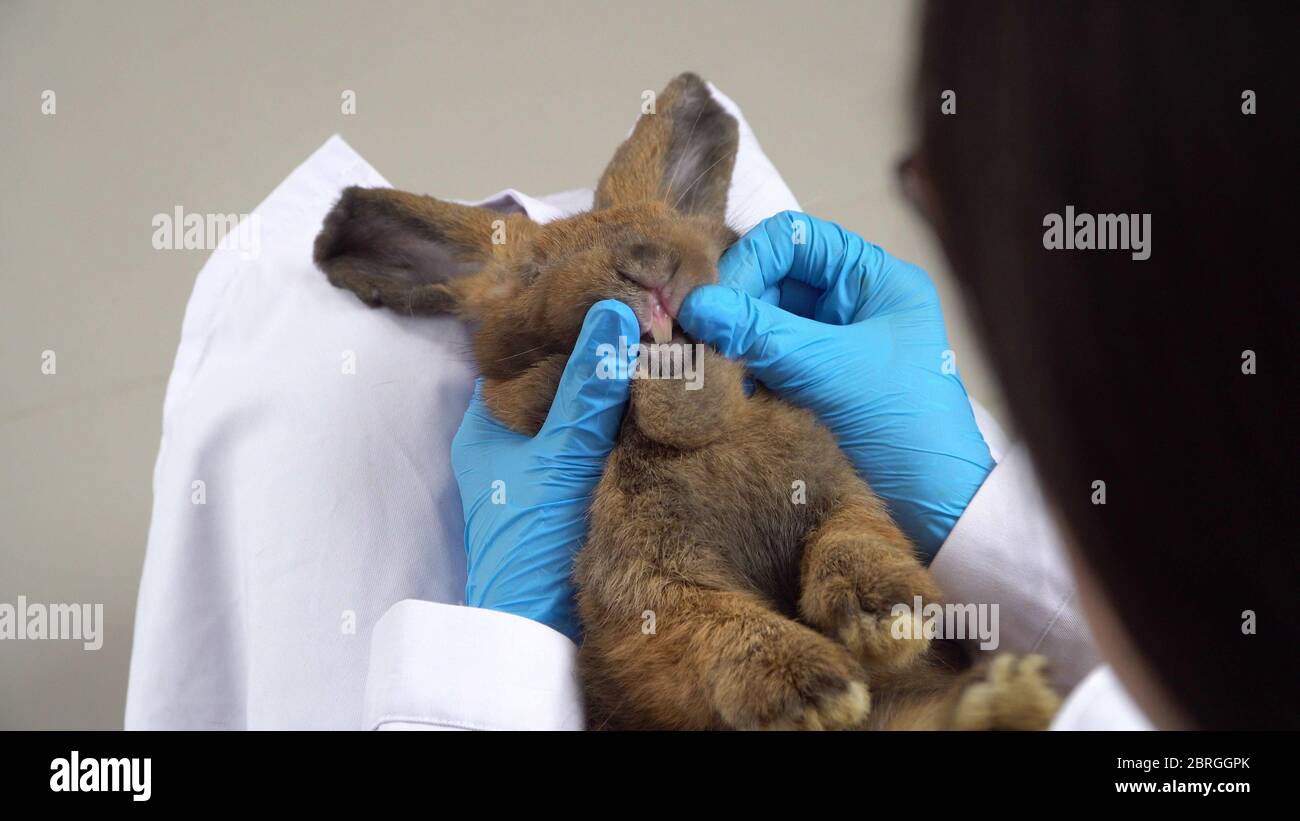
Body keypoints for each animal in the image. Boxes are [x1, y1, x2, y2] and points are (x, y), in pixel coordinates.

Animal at [313, 72, 1061, 730]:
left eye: (666, 221)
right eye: (531, 271)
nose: (647, 265)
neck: (690, 425)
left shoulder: (839, 491)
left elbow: (854, 538)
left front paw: (890, 615)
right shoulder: (639, 598)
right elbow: (707, 624)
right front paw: (815, 688)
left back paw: (1009, 693)